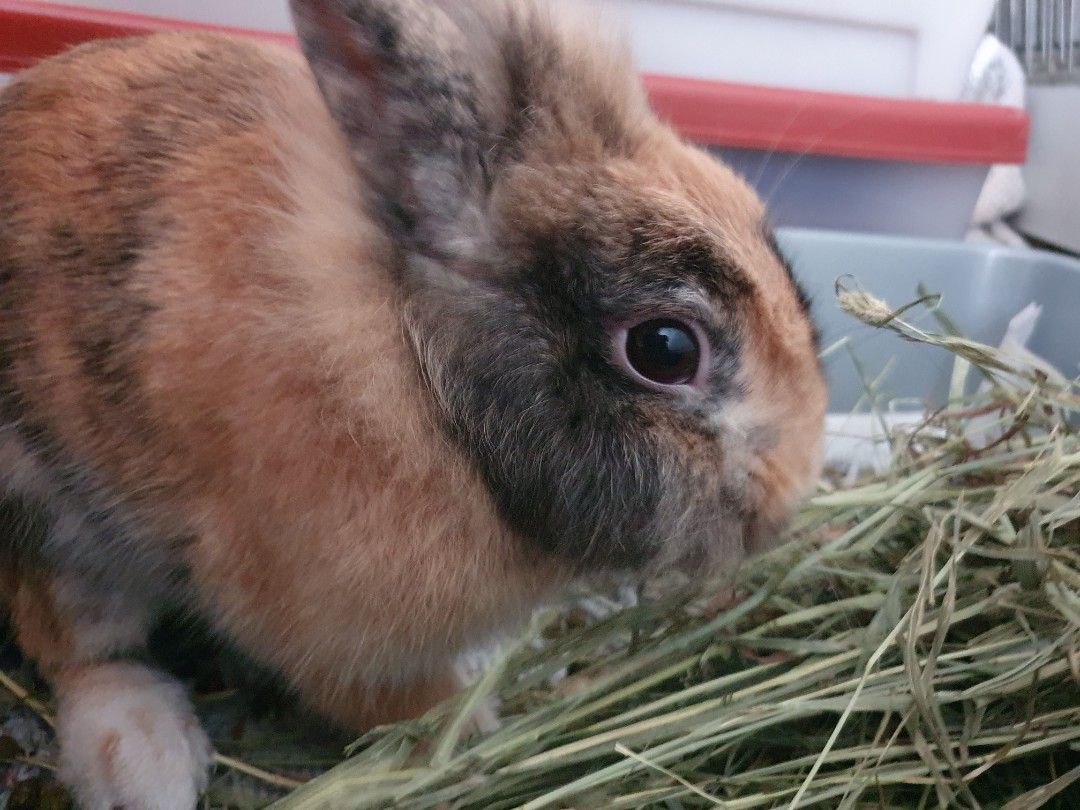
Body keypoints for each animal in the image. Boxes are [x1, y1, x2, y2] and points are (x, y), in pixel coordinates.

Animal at [0, 0, 827, 806]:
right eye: (665, 349)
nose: (795, 489)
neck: (429, 387)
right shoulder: (335, 637)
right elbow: (399, 702)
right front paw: (471, 729)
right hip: (60, 525)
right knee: (78, 648)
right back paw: (146, 763)